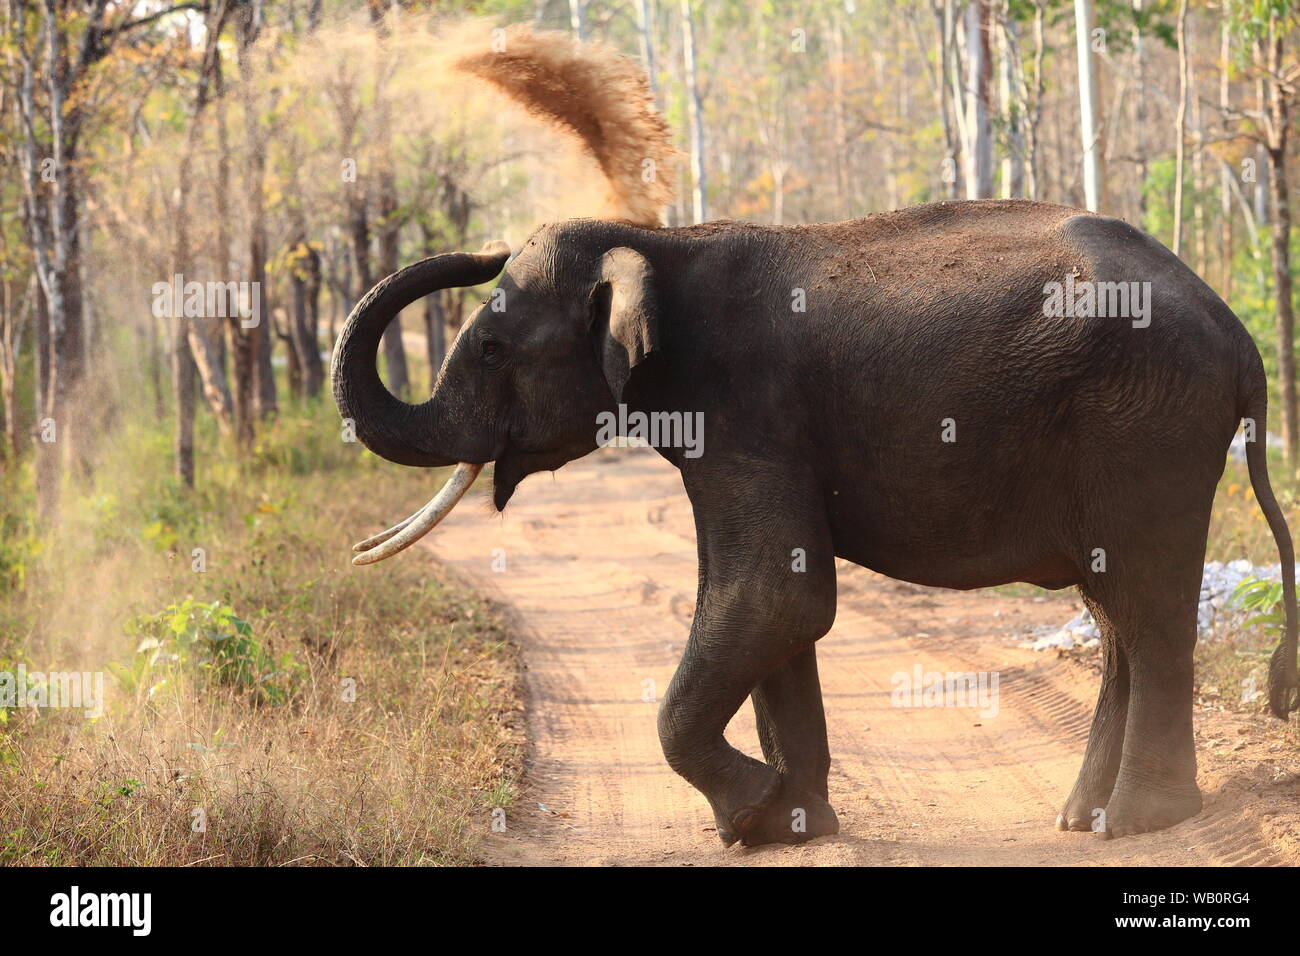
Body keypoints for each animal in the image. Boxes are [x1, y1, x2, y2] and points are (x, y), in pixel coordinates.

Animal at [332, 198, 1297, 847]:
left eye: (495, 347)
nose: (483, 247)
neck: (658, 239)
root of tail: (1240, 339)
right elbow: (765, 604)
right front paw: (791, 827)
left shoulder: (747, 409)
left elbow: (774, 597)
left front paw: (749, 816)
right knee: (1117, 614)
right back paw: (1084, 818)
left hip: (1146, 429)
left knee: (1146, 609)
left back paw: (1138, 823)